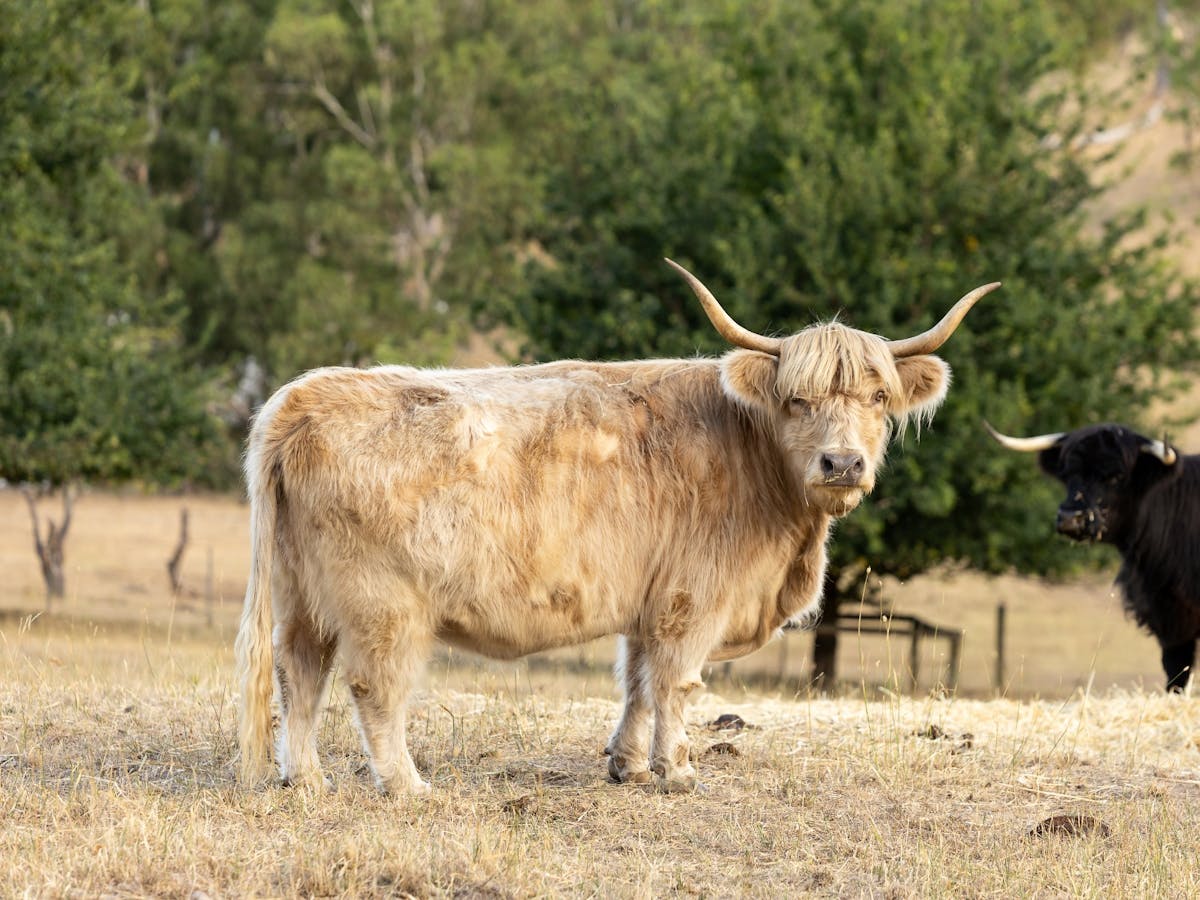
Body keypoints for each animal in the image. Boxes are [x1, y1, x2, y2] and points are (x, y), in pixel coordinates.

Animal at [235, 259, 998, 795]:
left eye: (878, 397)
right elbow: (676, 683)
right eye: (797, 400)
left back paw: (306, 779)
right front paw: (677, 771)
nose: (842, 463)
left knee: (299, 673)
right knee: (372, 687)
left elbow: (635, 680)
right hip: (382, 605)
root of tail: (299, 397)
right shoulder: (694, 600)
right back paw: (407, 785)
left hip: (303, 596)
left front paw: (627, 765)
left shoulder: (647, 601)